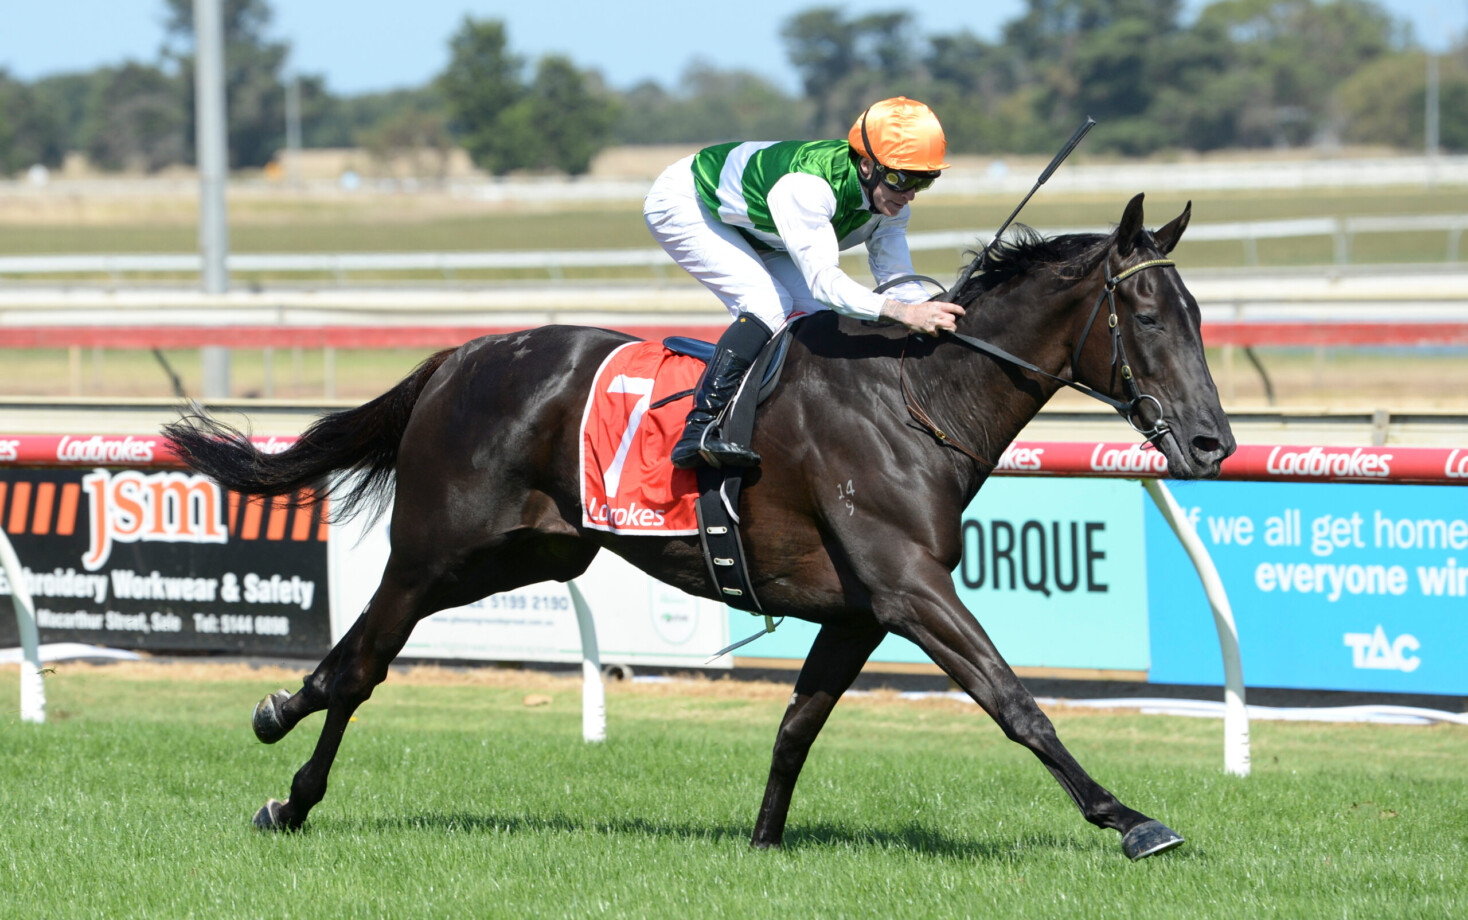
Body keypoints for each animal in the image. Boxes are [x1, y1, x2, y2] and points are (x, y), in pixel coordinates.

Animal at [163, 193, 1235, 860]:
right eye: (1146, 315)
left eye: (1196, 314)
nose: (1214, 440)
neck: (916, 396)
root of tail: (461, 356)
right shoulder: (910, 587)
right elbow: (1016, 701)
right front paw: (1130, 818)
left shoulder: (861, 610)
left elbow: (798, 725)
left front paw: (761, 842)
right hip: (437, 548)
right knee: (363, 665)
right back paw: (290, 784)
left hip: (529, 551)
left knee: (358, 658)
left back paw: (281, 721)